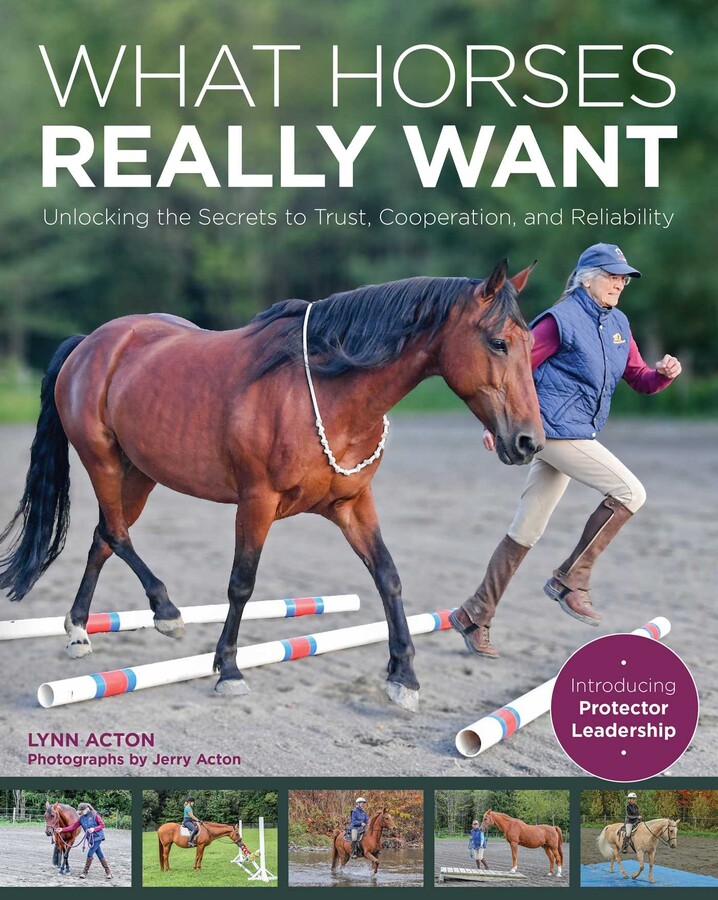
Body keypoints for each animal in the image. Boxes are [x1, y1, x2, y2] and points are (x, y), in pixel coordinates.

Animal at [0, 260, 543, 711]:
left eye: (530, 343)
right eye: (498, 342)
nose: (528, 441)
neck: (326, 388)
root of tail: (91, 343)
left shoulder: (353, 502)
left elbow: (388, 576)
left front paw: (403, 677)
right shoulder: (256, 503)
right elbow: (242, 582)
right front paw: (228, 669)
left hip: (139, 473)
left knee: (104, 536)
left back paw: (78, 630)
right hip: (104, 462)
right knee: (115, 533)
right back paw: (166, 611)